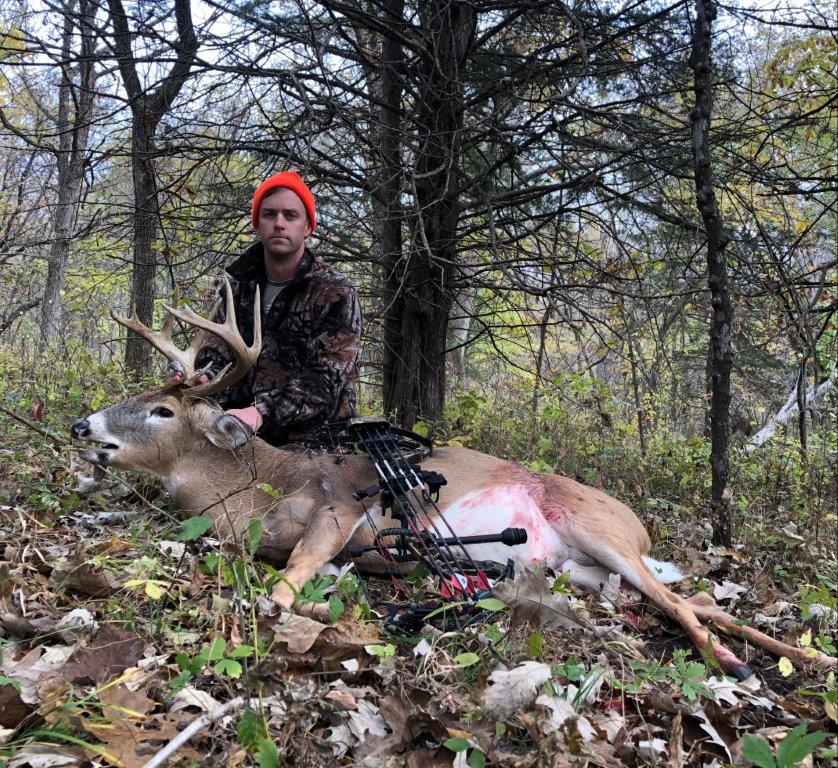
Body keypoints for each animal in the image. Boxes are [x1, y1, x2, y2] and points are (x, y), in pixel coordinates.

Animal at [70, 280, 836, 680]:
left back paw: (739, 668)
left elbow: (285, 585)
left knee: (683, 607)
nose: (82, 426)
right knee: (700, 602)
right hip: (586, 571)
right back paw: (795, 657)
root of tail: (641, 529)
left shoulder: (339, 509)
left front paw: (294, 614)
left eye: (163, 410)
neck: (252, 487)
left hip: (600, 530)